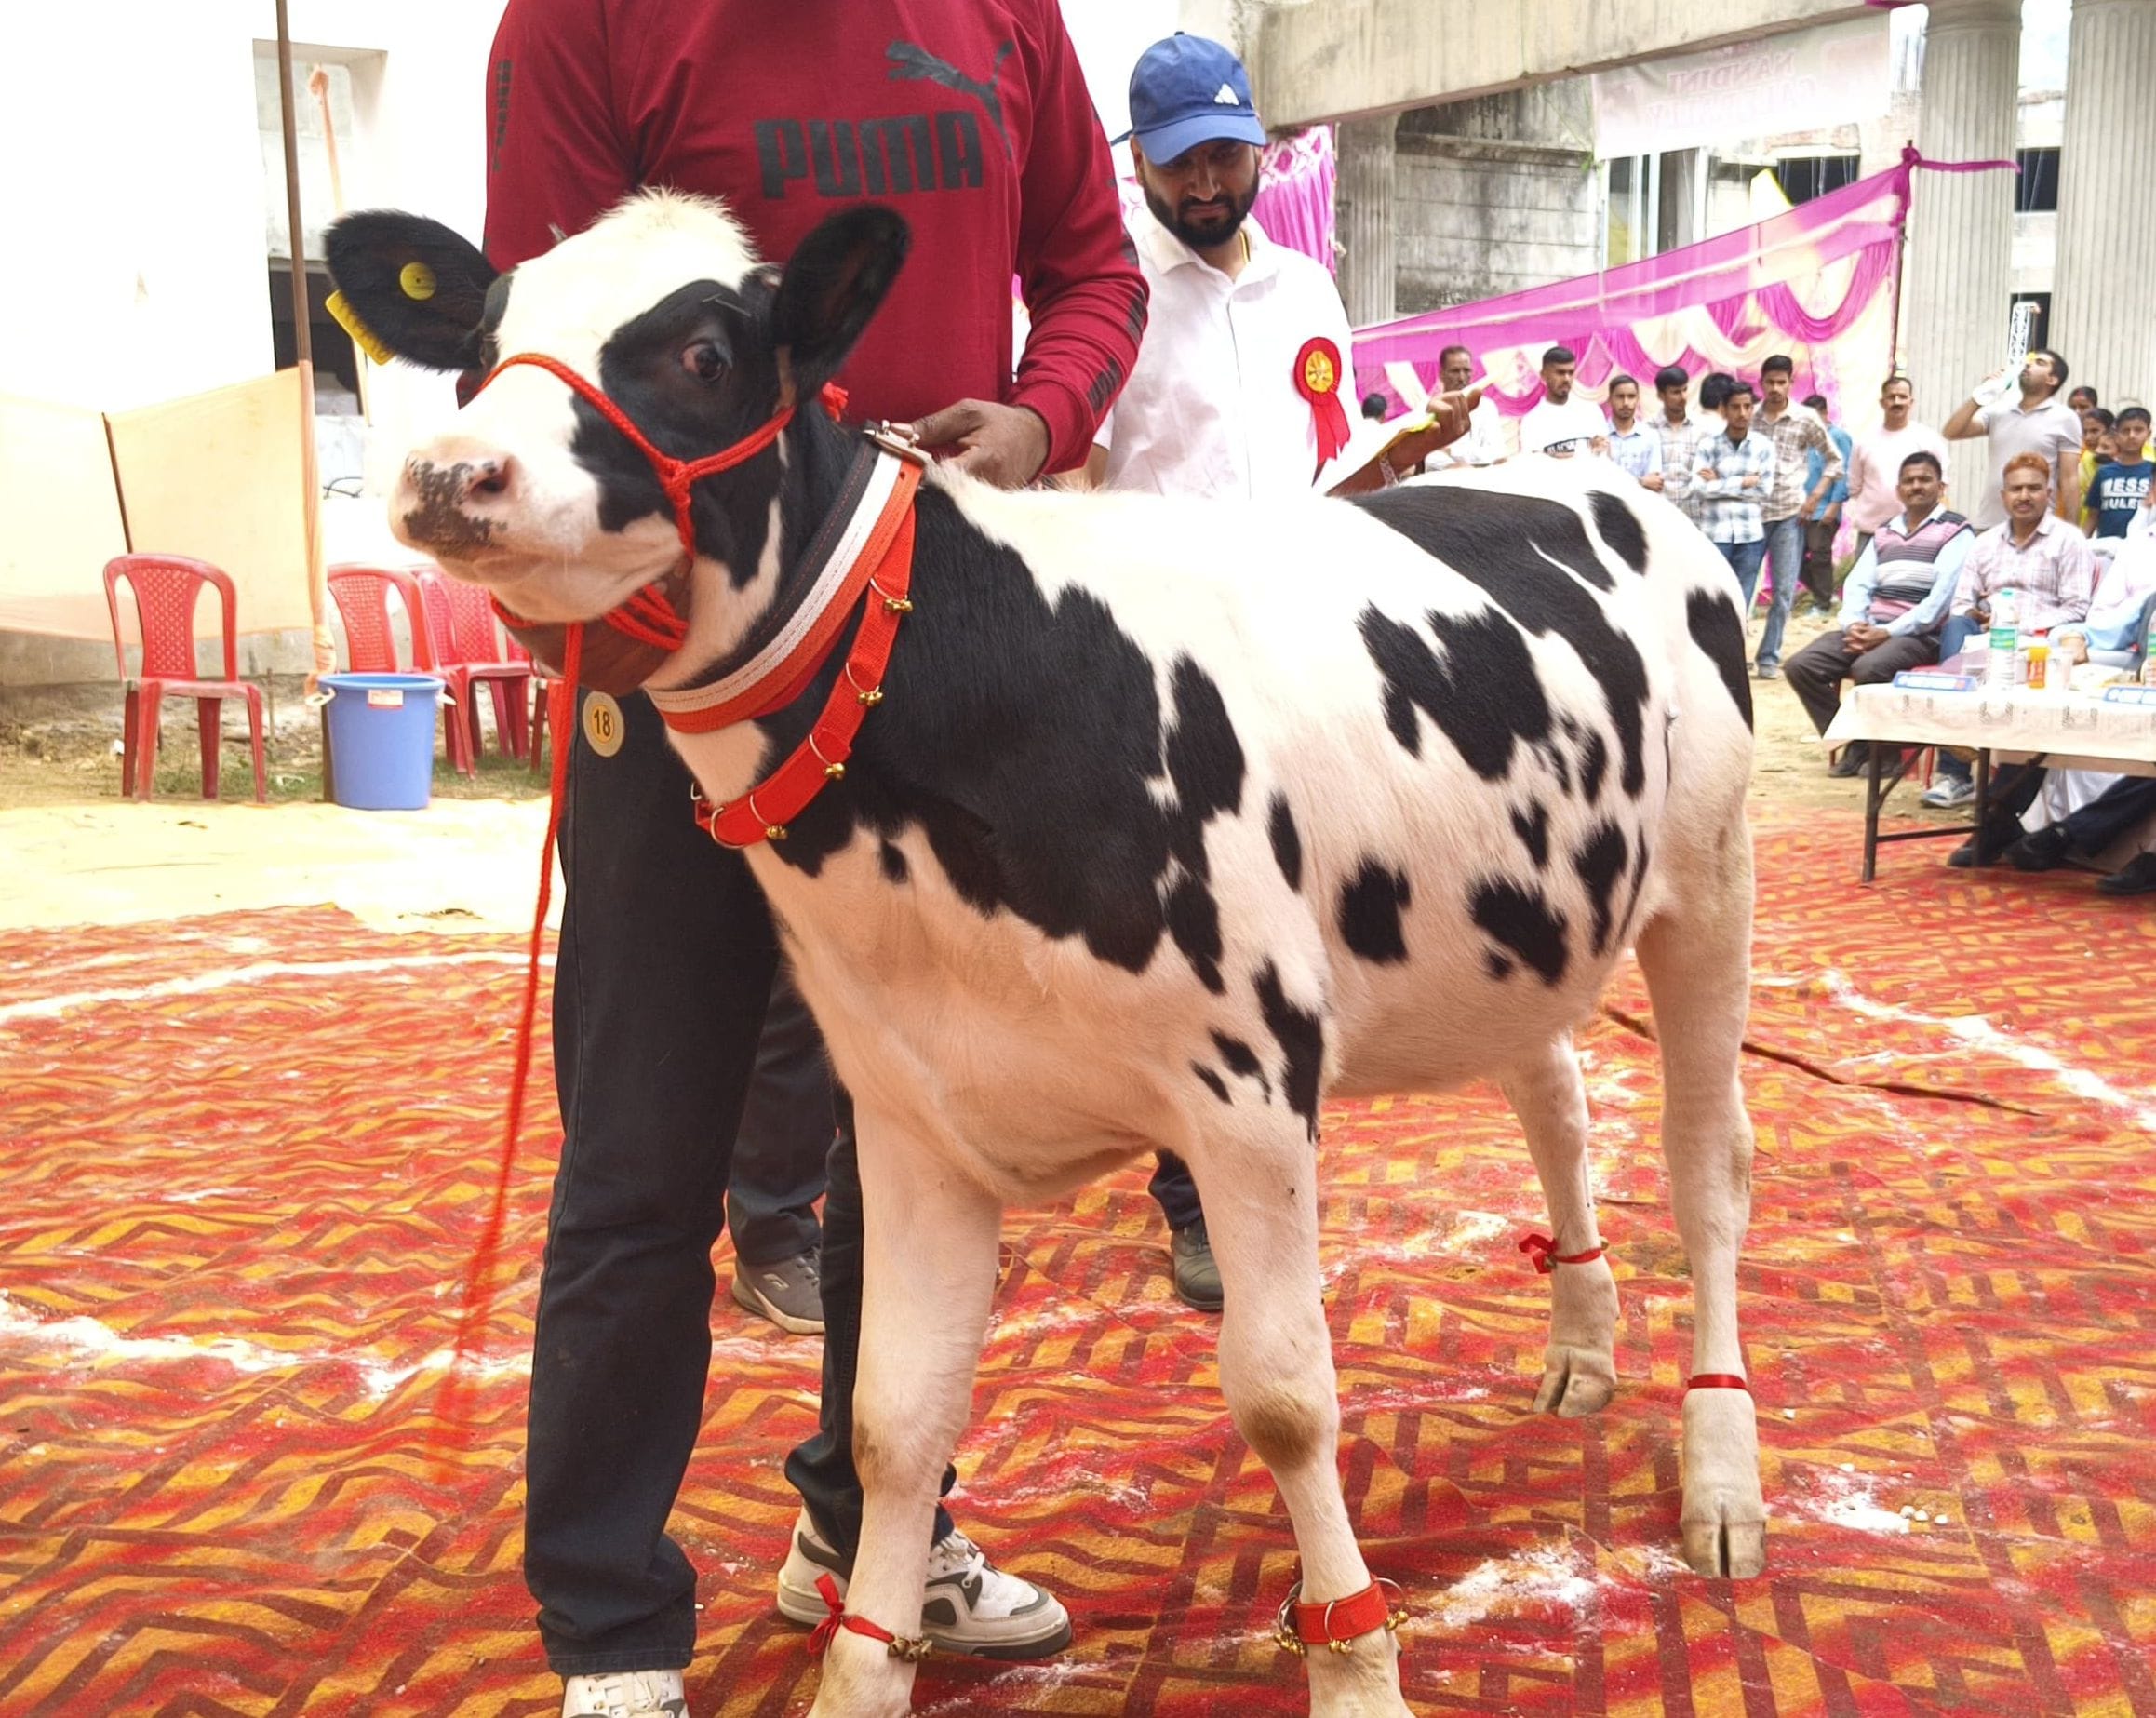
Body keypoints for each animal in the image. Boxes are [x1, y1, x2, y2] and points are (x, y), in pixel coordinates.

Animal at [327, 190, 1765, 1718]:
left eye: (706, 354)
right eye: (483, 346)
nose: (451, 475)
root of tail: (1595, 480)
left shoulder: (1249, 1088)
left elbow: (1284, 1396)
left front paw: (1356, 1666)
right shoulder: (909, 1114)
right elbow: (893, 1419)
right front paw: (863, 1672)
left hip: (1709, 881)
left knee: (1707, 1168)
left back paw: (1722, 1478)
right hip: (1519, 926)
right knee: (1553, 1092)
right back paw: (1581, 1348)